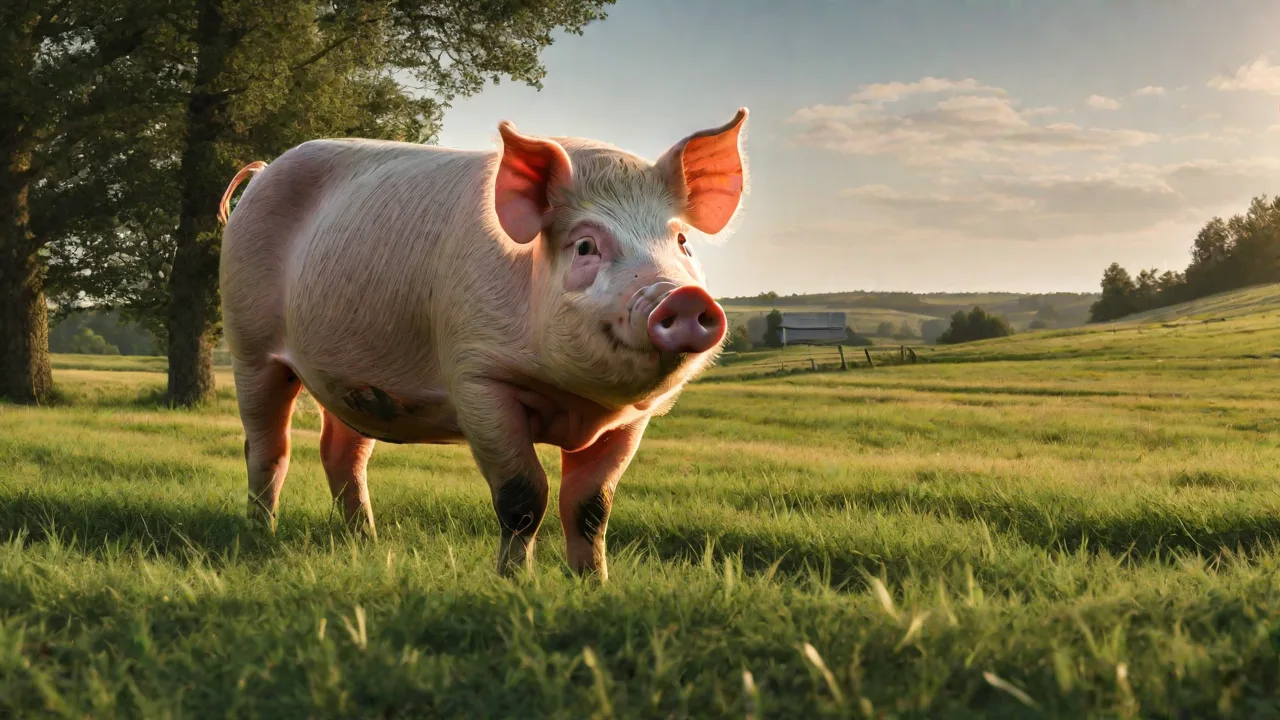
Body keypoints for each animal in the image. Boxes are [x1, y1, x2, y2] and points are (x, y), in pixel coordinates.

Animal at [216, 108, 748, 580]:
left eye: (681, 242)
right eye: (585, 246)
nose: (682, 295)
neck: (578, 405)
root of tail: (261, 173)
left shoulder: (633, 419)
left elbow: (591, 507)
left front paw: (592, 585)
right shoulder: (479, 379)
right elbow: (522, 497)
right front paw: (514, 583)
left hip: (357, 380)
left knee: (342, 452)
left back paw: (364, 541)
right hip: (249, 346)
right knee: (267, 446)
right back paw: (260, 534)